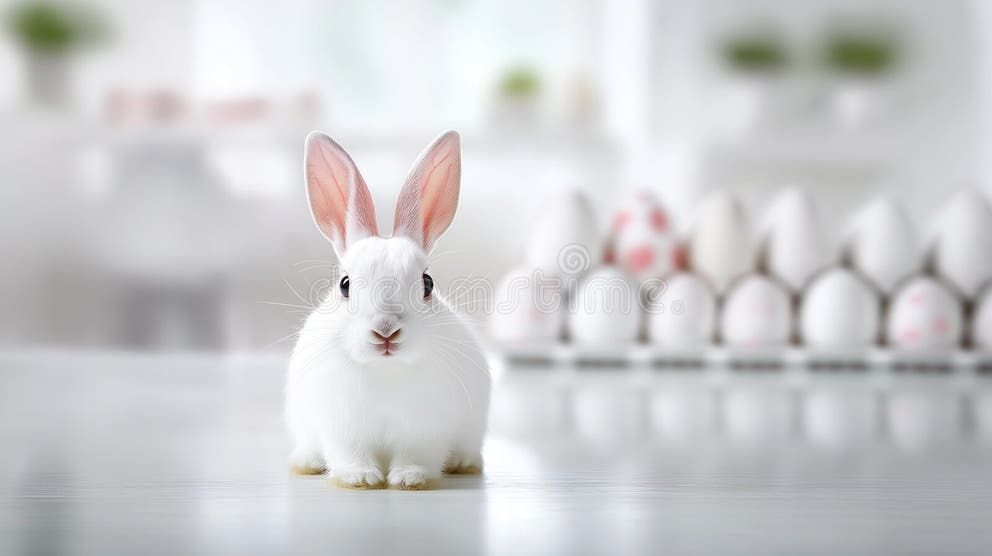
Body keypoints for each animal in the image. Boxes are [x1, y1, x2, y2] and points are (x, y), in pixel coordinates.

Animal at [286, 130, 490, 490]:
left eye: (427, 284)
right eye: (345, 284)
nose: (385, 330)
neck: (385, 370)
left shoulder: (423, 434)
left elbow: (415, 457)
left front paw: (410, 480)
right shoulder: (343, 431)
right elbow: (350, 454)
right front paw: (359, 479)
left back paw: (463, 464)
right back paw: (306, 463)